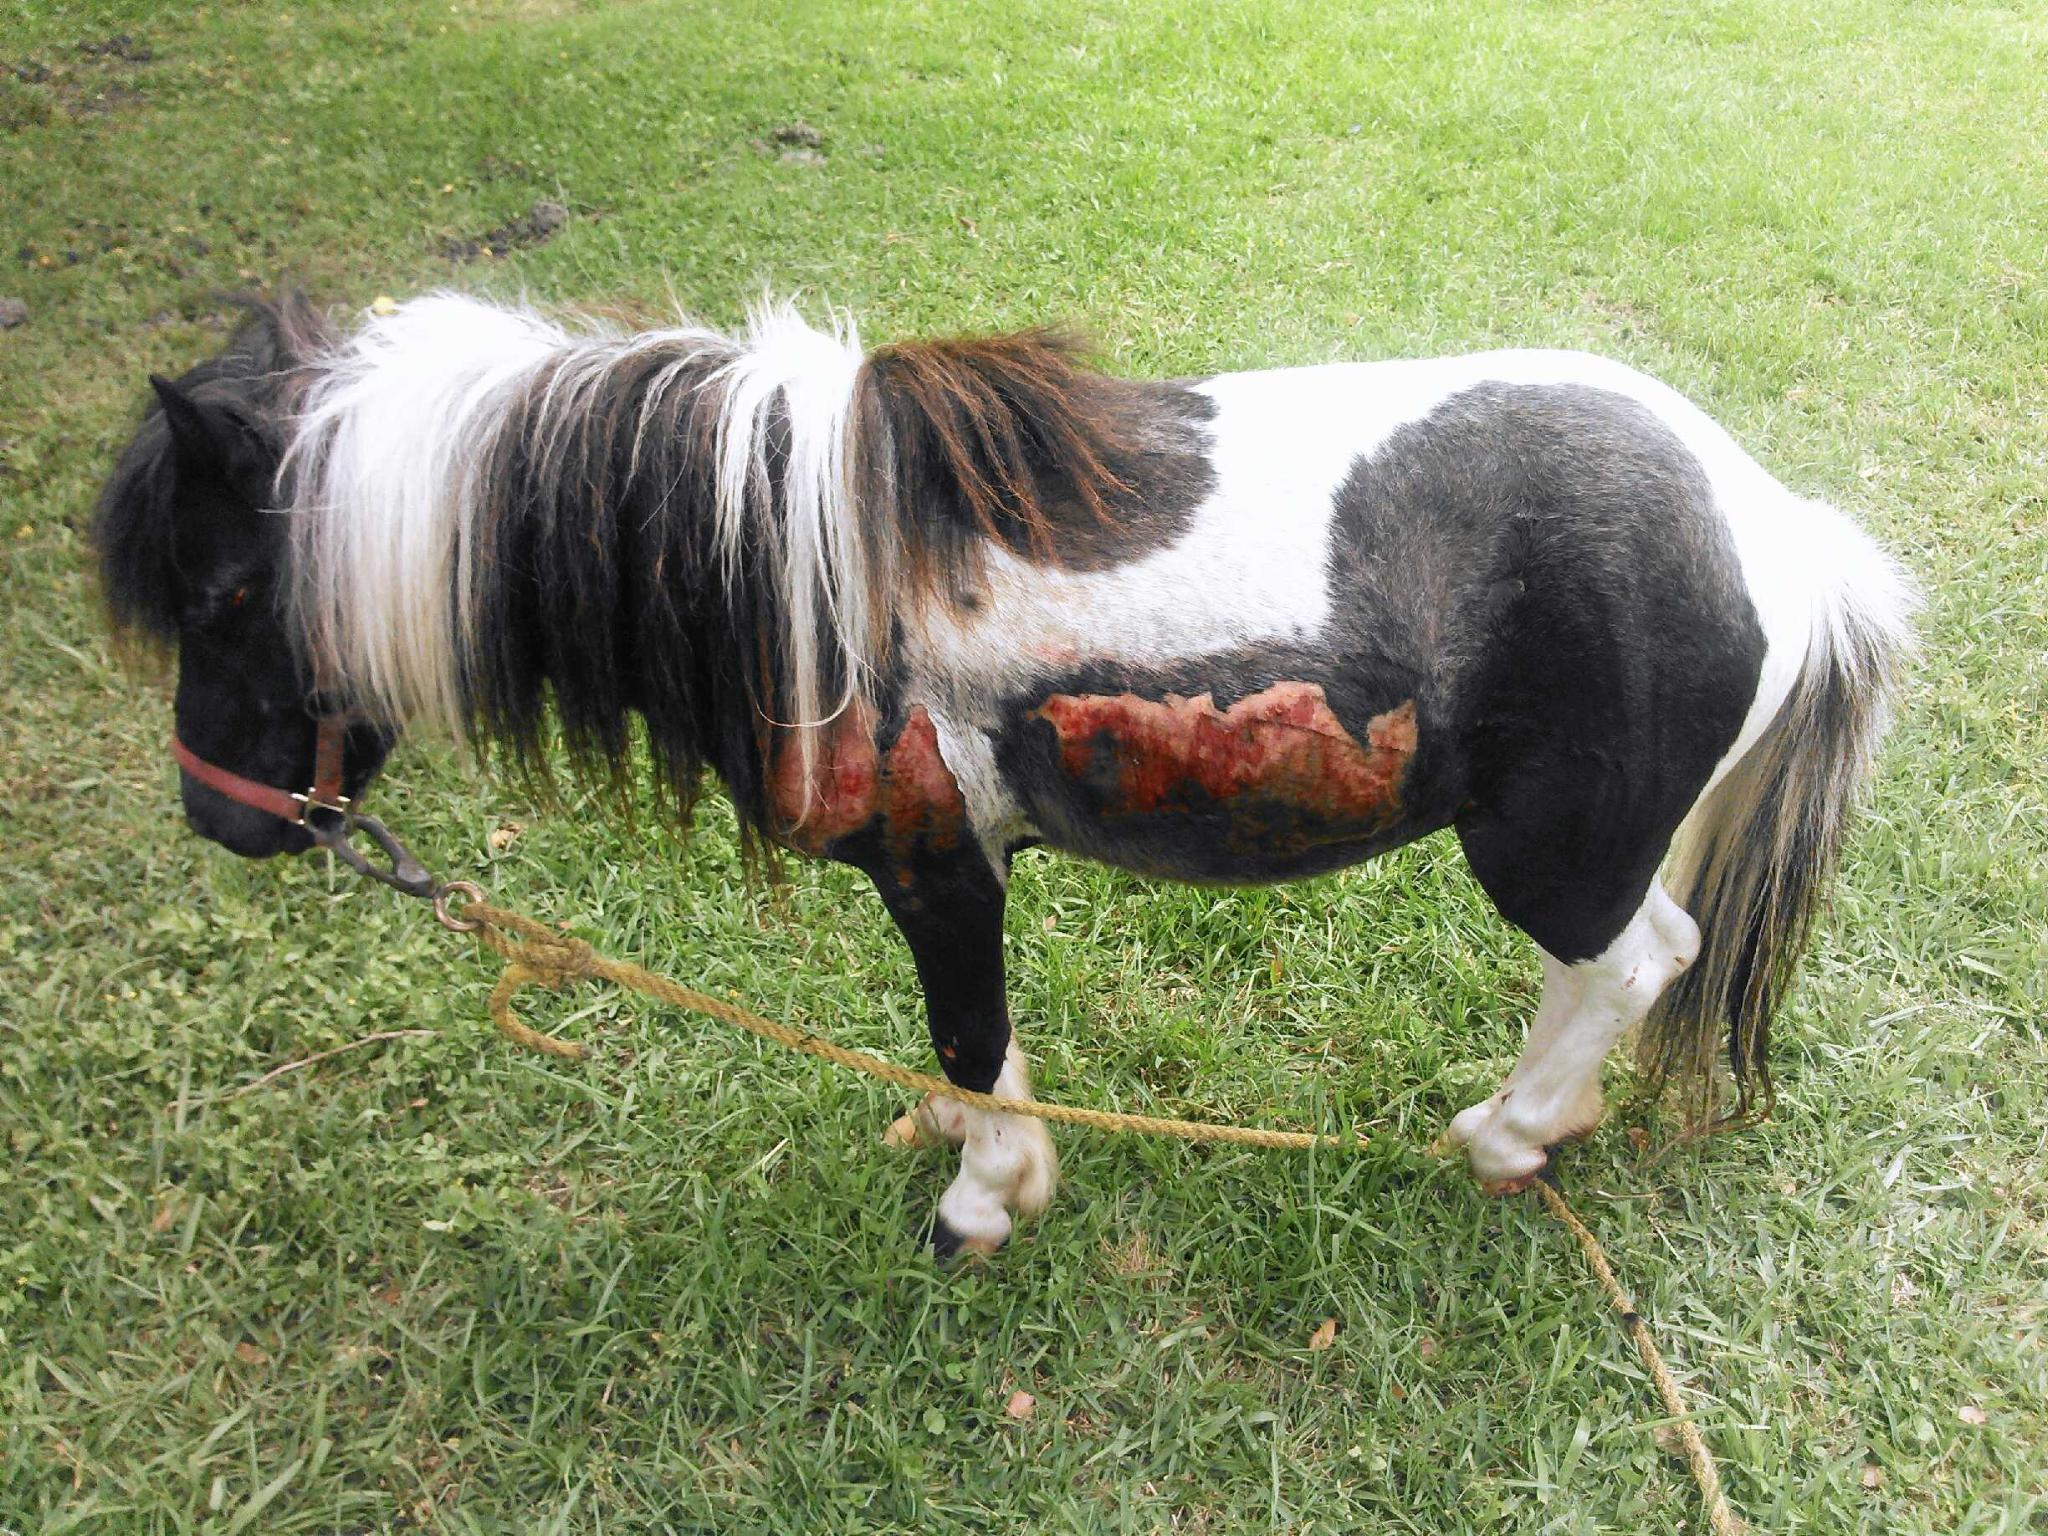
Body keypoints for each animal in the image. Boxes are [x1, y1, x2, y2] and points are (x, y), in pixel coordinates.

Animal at [94, 289, 1913, 1256]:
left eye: (224, 593)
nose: (220, 819)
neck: (798, 568)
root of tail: (1775, 531)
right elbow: (965, 1043)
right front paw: (961, 1146)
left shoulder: (937, 865)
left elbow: (970, 1033)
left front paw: (987, 1197)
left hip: (1551, 848)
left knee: (1632, 963)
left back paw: (1506, 1135)